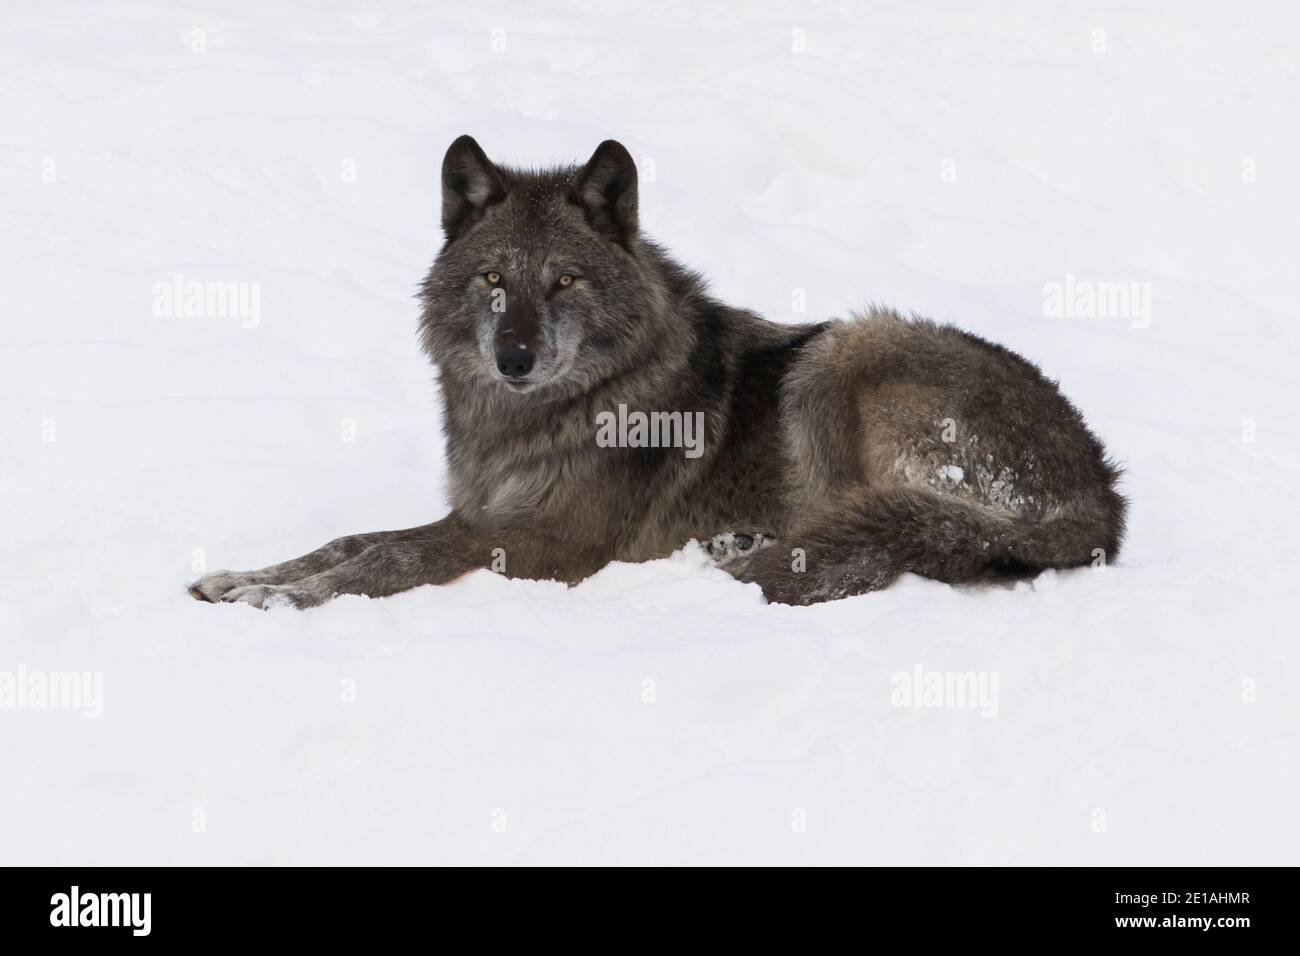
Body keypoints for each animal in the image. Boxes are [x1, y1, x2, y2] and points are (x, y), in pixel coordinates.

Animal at [189, 136, 1126, 609]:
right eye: (493, 280)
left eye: (564, 281)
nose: (514, 357)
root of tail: (1103, 498)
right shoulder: (481, 511)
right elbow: (354, 539)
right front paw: (245, 577)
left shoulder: (552, 543)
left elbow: (394, 556)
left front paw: (291, 598)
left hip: (840, 353)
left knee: (871, 542)